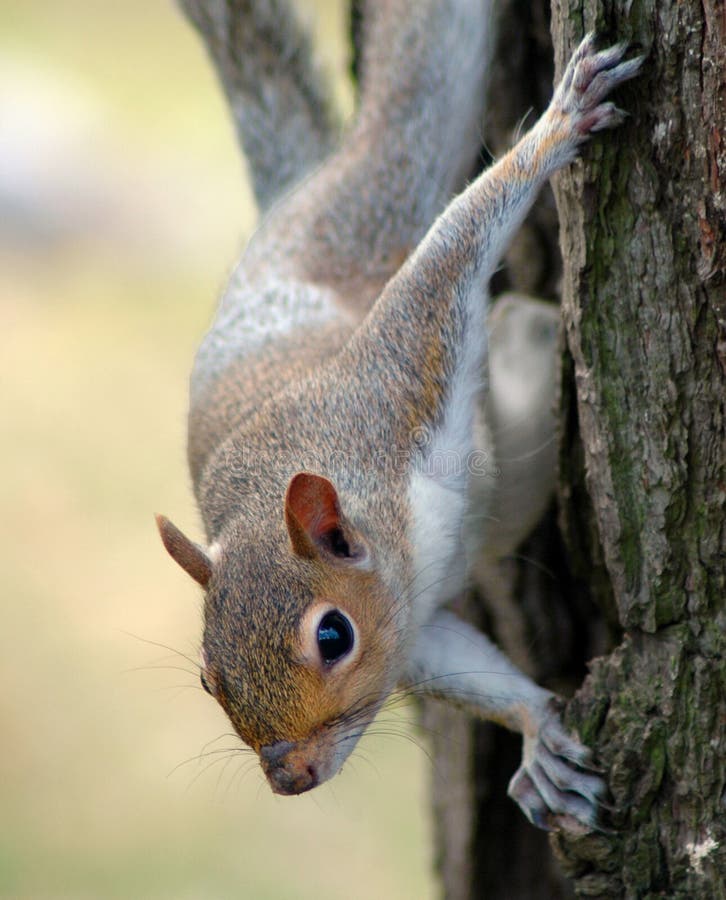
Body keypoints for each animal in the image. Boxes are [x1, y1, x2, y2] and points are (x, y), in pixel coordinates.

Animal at [157, 0, 642, 833]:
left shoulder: (402, 375)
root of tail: (292, 207)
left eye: (332, 635)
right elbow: (467, 666)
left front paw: (551, 133)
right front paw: (538, 737)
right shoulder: (413, 626)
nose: (289, 778)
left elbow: (450, 255)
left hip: (375, 205)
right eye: (207, 678)